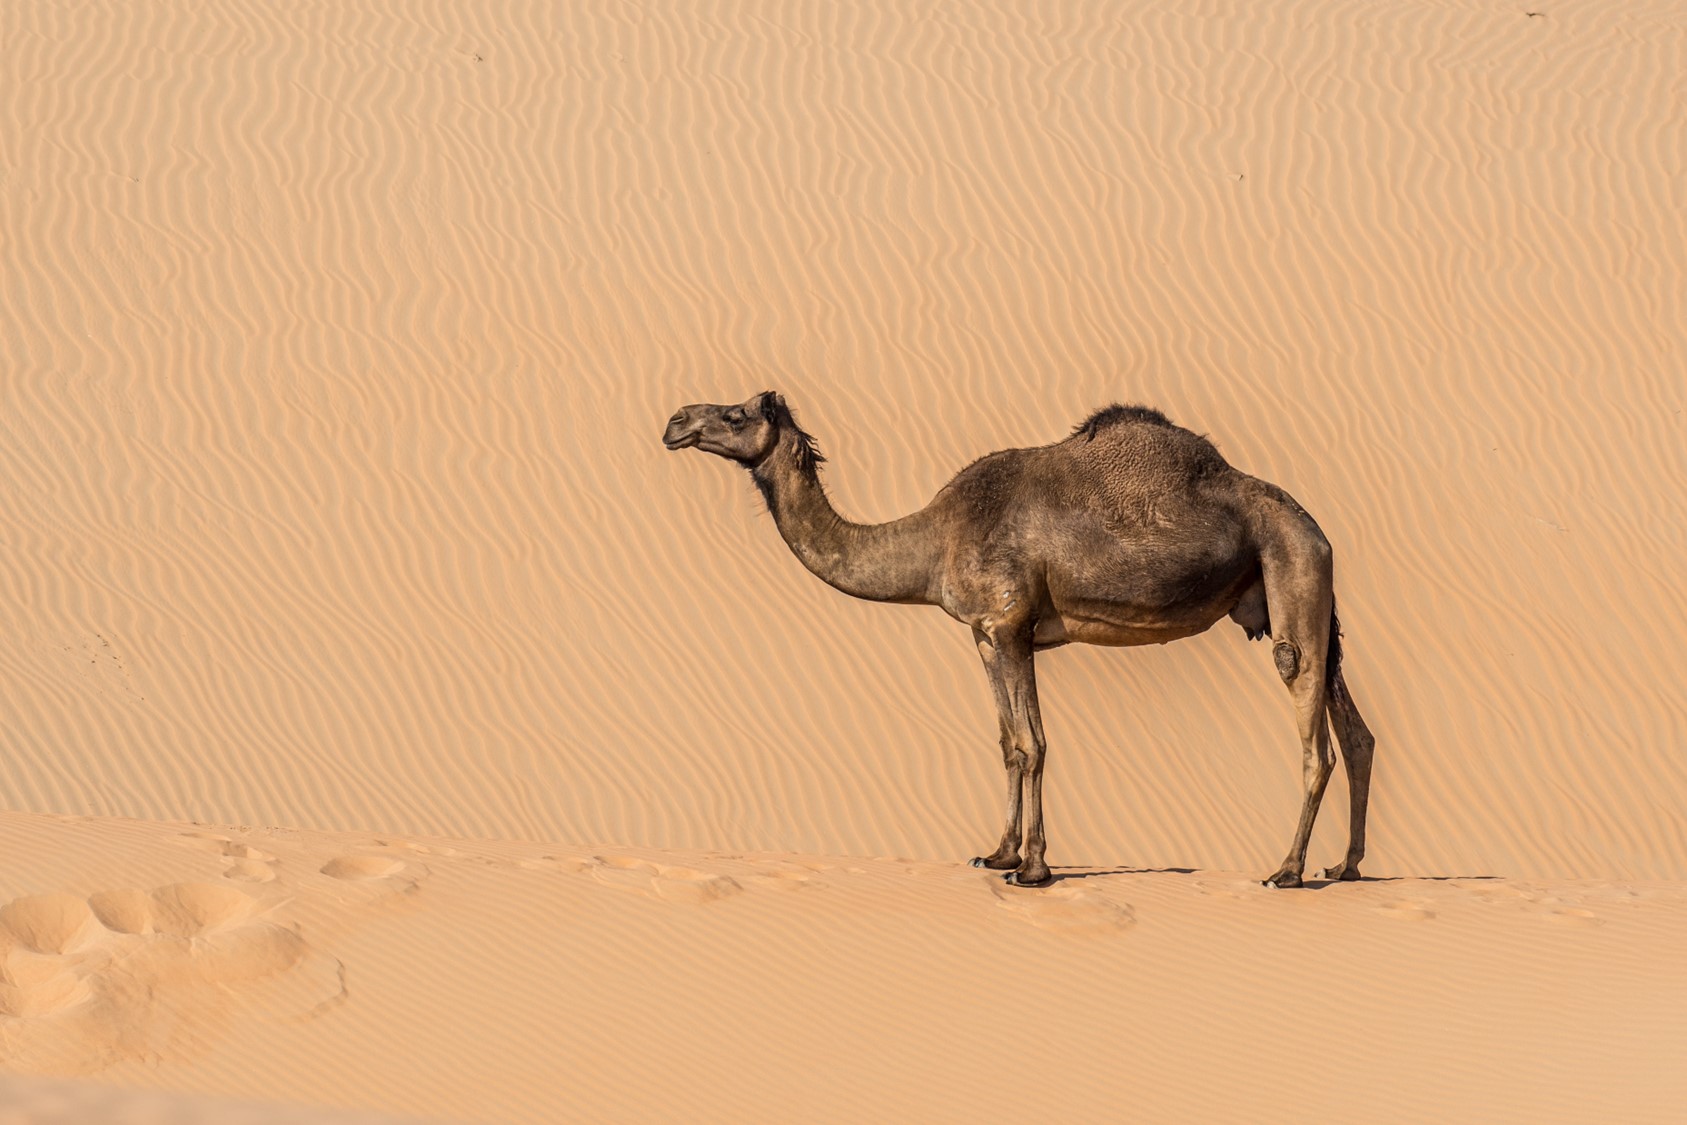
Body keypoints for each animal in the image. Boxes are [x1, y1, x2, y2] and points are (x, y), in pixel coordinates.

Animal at [663, 392, 1376, 888]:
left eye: (734, 414)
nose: (675, 422)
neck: (934, 539)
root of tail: (1317, 528)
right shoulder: (985, 635)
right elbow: (1008, 743)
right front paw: (997, 853)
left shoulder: (1009, 625)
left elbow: (1033, 744)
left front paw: (1033, 869)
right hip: (1308, 593)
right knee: (1356, 732)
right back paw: (1345, 868)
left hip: (1291, 569)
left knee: (1311, 724)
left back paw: (1287, 871)